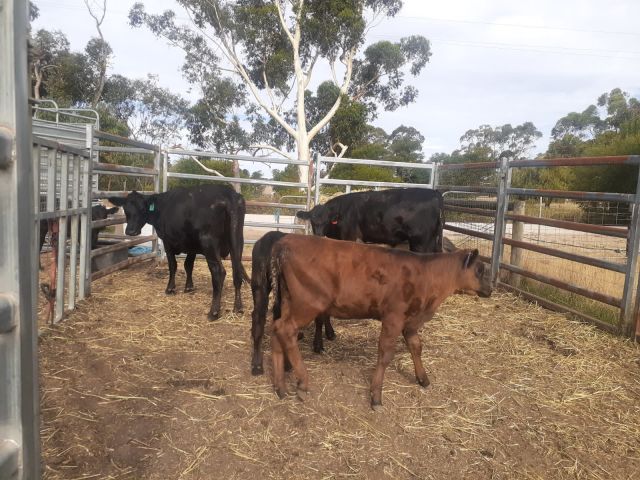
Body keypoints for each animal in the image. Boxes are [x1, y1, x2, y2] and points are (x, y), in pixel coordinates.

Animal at [109, 185, 248, 320]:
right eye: (126, 209)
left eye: (143, 209)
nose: (131, 231)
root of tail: (228, 193)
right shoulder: (191, 245)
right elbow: (188, 265)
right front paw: (189, 287)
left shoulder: (167, 242)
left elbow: (173, 266)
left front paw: (170, 288)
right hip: (237, 241)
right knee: (237, 272)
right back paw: (238, 307)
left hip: (209, 243)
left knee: (219, 272)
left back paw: (213, 312)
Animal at [250, 231, 335, 375]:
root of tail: (270, 238)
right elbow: (320, 318)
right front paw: (319, 343)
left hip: (259, 285)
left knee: (258, 317)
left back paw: (257, 364)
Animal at [269, 235, 492, 408]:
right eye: (480, 270)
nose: (490, 289)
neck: (427, 274)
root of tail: (286, 242)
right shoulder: (393, 318)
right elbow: (385, 354)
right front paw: (376, 395)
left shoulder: (410, 321)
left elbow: (416, 347)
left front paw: (423, 379)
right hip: (308, 303)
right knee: (286, 329)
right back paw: (303, 383)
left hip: (288, 301)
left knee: (277, 329)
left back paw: (280, 387)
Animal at [296, 188, 444, 253]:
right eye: (312, 221)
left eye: (327, 221)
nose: (318, 235)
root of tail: (435, 192)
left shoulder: (349, 237)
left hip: (421, 242)